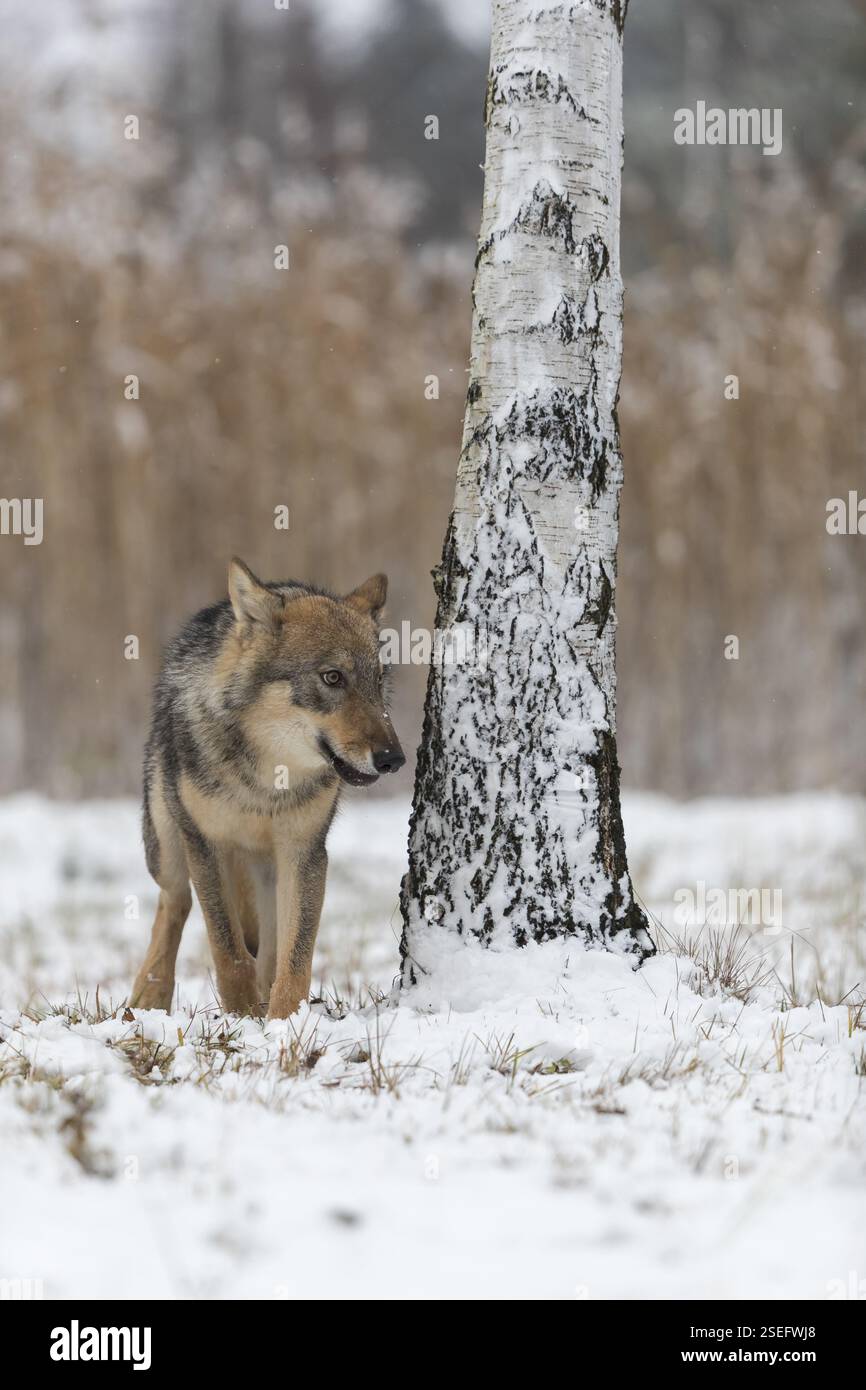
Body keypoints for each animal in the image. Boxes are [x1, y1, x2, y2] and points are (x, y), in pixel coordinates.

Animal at [129, 558, 404, 1019]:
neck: (264, 783)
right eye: (333, 677)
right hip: (167, 845)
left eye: (379, 681)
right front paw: (241, 1016)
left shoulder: (304, 852)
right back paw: (148, 996)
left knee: (269, 948)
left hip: (267, 868)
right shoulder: (205, 843)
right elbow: (228, 950)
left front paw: (283, 1021)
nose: (393, 759)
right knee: (174, 902)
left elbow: (294, 958)